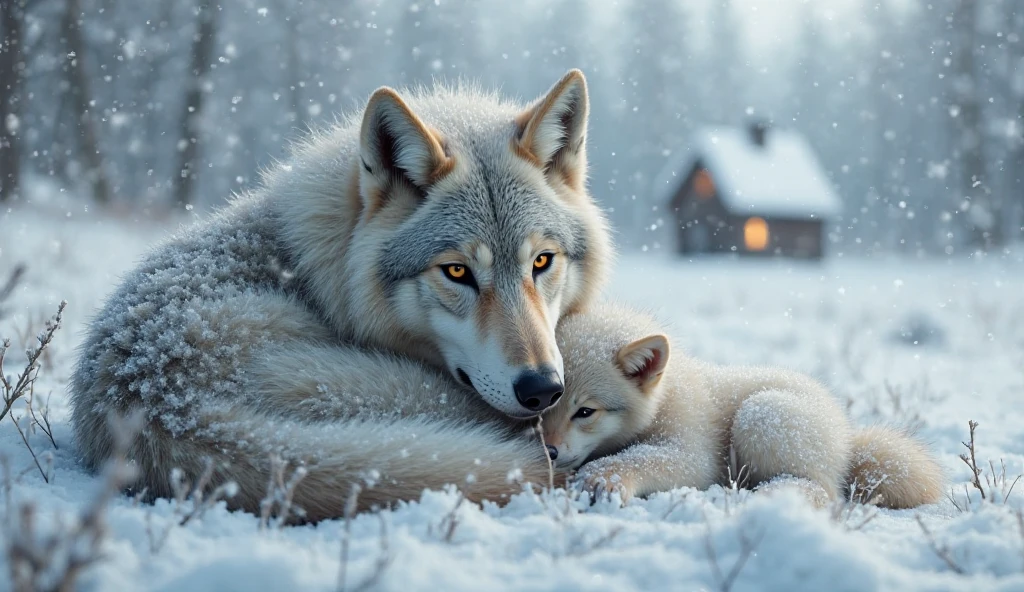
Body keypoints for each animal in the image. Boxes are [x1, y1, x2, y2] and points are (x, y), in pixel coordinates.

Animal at [541, 303, 945, 509]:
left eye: (585, 411)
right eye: (543, 407)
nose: (549, 451)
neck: (664, 398)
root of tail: (846, 437)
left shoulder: (694, 452)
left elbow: (640, 458)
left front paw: (603, 477)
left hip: (759, 415)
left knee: (825, 491)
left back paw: (768, 495)